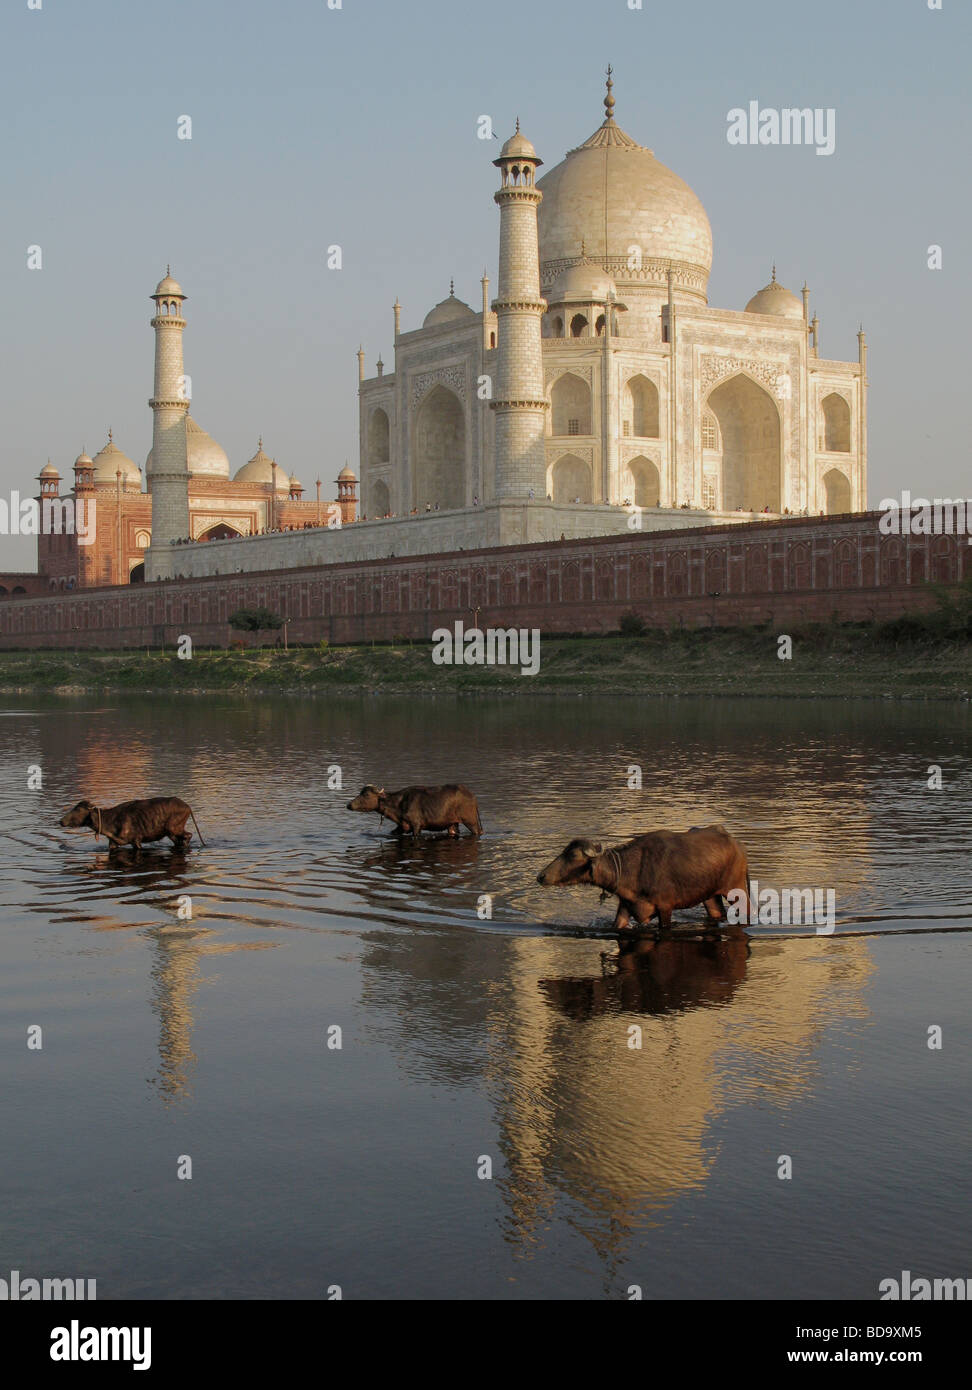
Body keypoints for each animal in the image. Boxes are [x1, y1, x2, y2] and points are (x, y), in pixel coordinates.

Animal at [58, 797, 206, 852]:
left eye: (78, 809)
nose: (61, 821)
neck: (109, 823)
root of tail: (188, 807)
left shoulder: (136, 840)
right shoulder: (114, 842)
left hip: (174, 827)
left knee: (188, 835)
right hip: (170, 832)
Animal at [346, 783, 482, 837]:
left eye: (367, 795)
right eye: (360, 792)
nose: (349, 805)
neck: (398, 805)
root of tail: (472, 796)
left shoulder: (416, 826)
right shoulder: (401, 827)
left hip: (471, 821)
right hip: (452, 824)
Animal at [536, 824, 750, 930]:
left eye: (572, 855)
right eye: (563, 851)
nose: (541, 876)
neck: (630, 872)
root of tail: (736, 844)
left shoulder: (665, 907)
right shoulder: (625, 907)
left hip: (738, 890)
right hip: (710, 897)